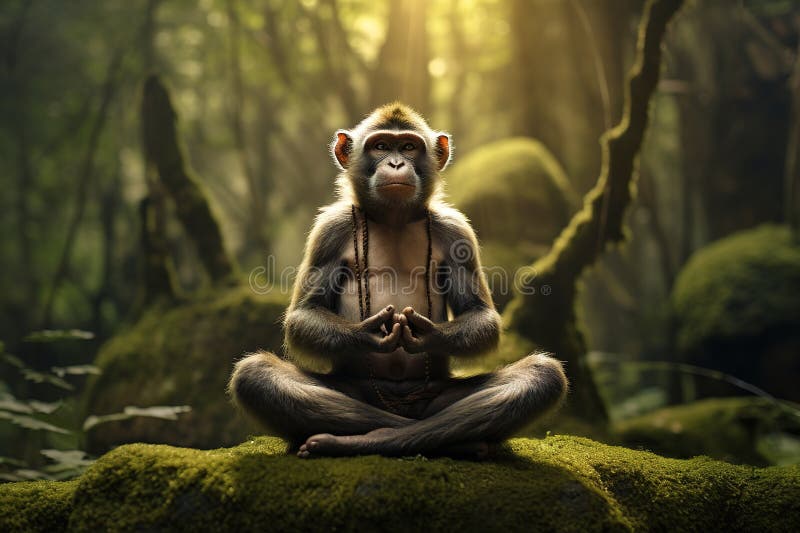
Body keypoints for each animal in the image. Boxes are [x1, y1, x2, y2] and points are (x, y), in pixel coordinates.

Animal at [228, 103, 567, 459]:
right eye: (380, 146)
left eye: (407, 147)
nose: (395, 163)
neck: (393, 218)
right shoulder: (330, 229)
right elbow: (304, 314)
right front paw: (367, 334)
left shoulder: (457, 230)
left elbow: (480, 314)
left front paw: (428, 334)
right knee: (256, 375)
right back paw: (374, 434)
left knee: (542, 375)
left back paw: (426, 436)